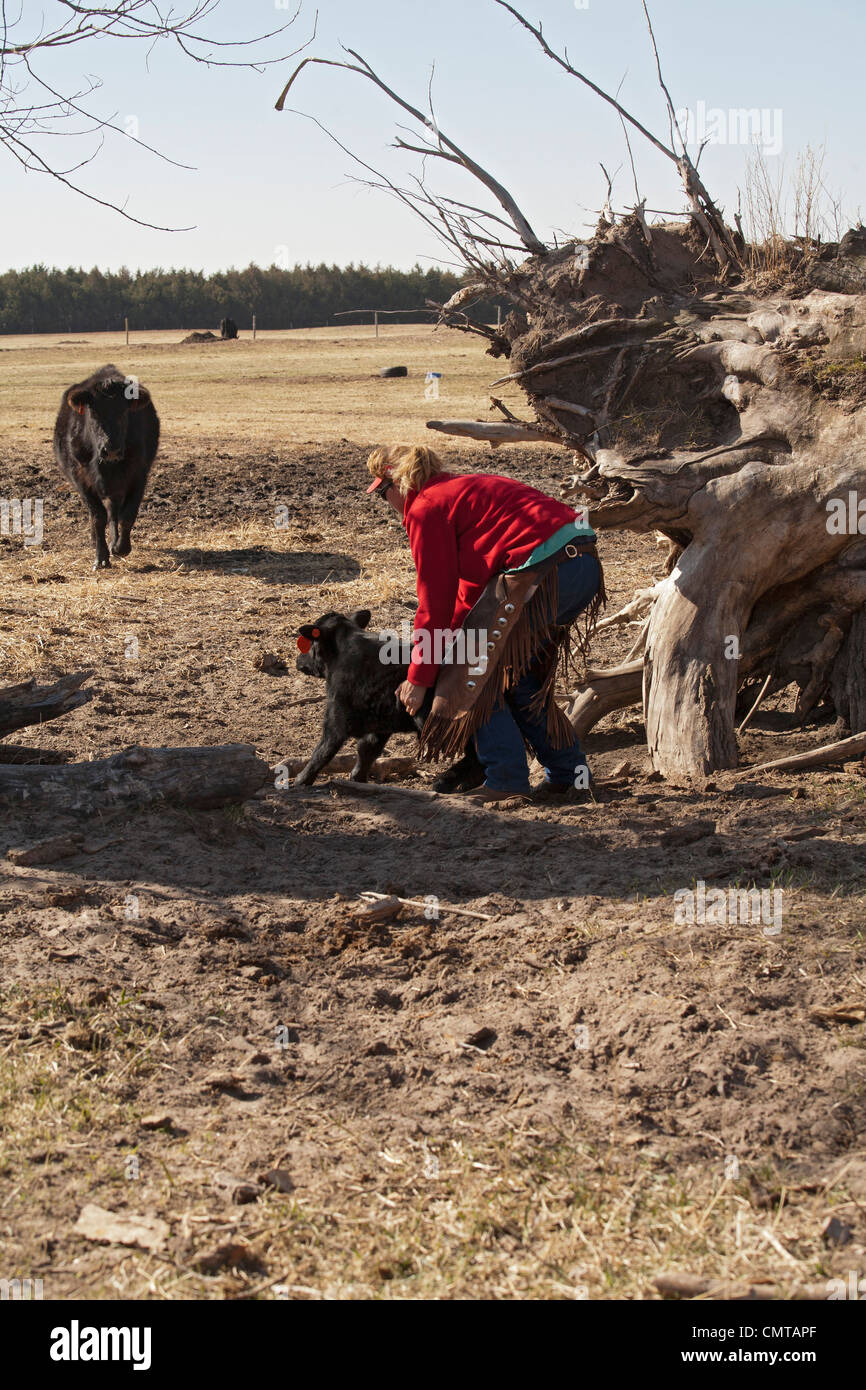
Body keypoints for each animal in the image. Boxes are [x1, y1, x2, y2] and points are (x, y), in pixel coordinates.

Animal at [53, 365, 159, 570]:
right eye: (94, 412)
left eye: (124, 412)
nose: (111, 450)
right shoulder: (81, 478)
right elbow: (97, 516)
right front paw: (101, 557)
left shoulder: (138, 476)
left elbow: (127, 514)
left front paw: (121, 547)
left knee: (113, 511)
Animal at [294, 608, 484, 792]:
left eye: (308, 643)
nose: (297, 661)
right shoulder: (381, 726)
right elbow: (366, 750)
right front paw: (358, 779)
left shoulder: (335, 720)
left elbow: (321, 753)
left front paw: (301, 781)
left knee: (476, 756)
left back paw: (447, 782)